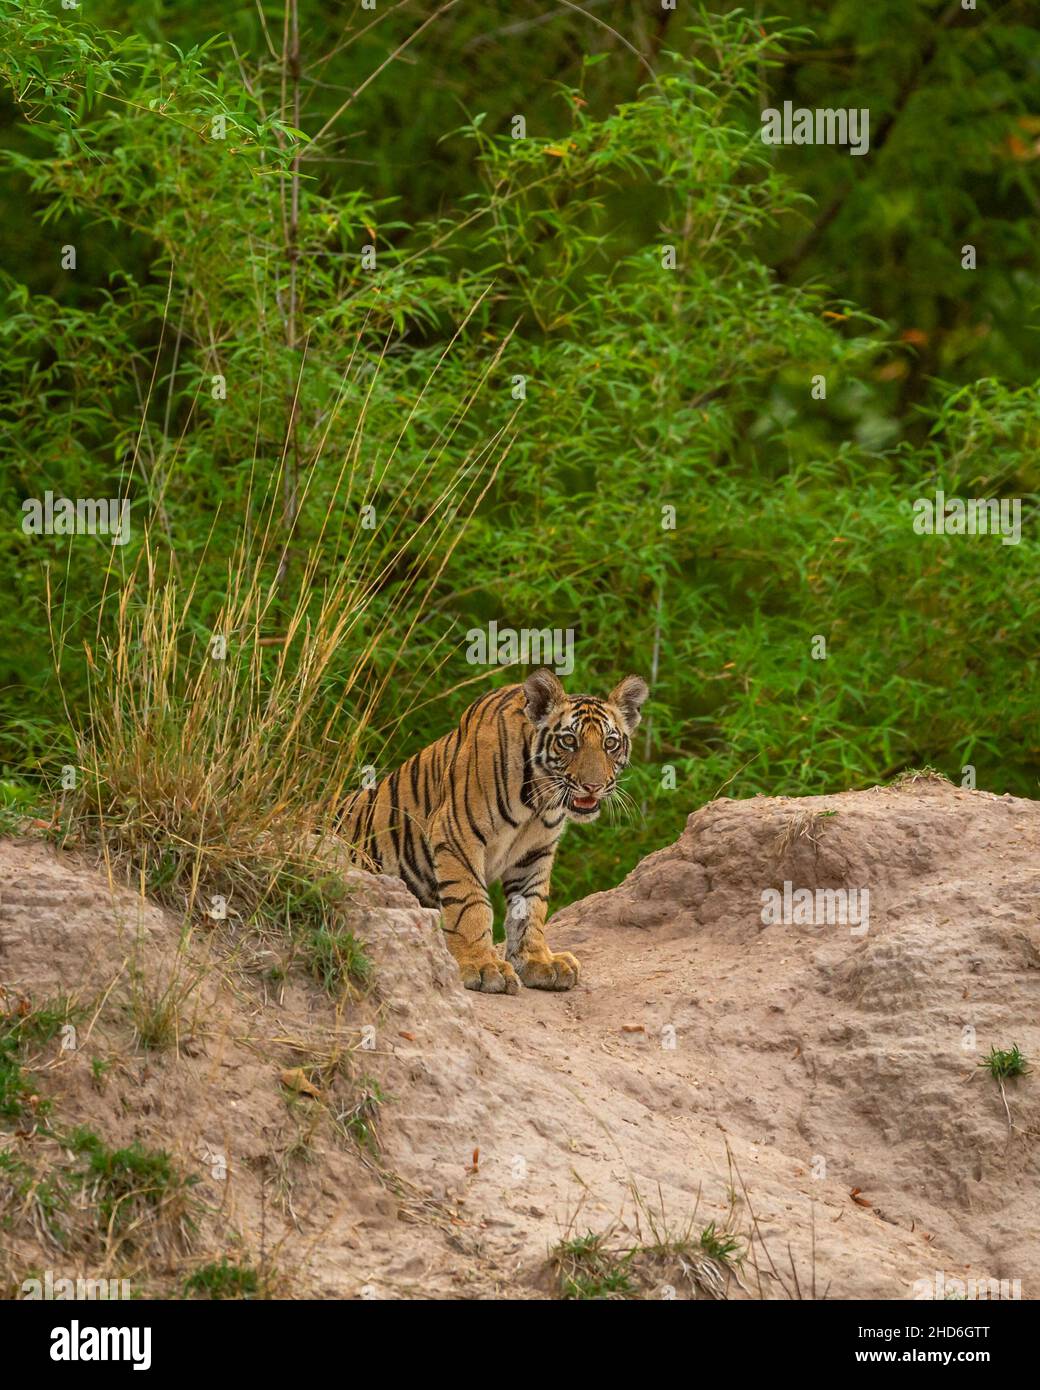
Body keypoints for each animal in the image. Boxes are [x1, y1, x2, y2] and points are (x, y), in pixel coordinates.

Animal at [339, 668, 649, 995]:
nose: (593, 786)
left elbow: (531, 907)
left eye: (610, 744)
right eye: (568, 741)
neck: (539, 800)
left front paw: (539, 962)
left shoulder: (534, 852)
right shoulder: (456, 835)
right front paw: (482, 967)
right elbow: (470, 904)